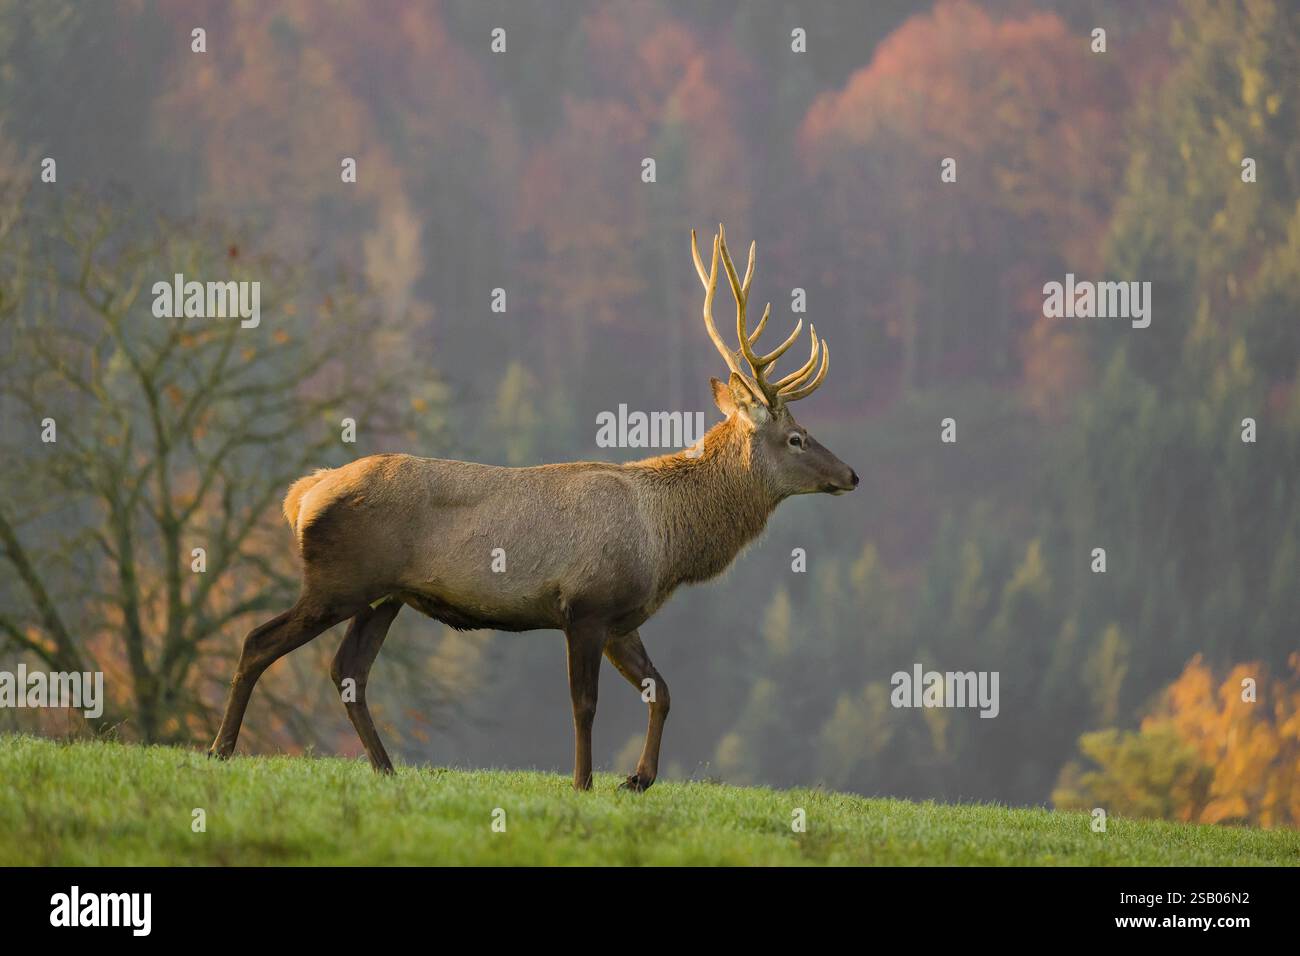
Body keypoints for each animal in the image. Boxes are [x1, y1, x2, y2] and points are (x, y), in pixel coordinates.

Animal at [208, 224, 858, 791]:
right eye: (796, 438)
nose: (851, 474)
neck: (667, 543)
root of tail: (302, 494)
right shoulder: (586, 605)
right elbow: (585, 704)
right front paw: (584, 782)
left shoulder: (622, 619)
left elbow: (664, 691)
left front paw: (638, 779)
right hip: (338, 581)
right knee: (259, 641)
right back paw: (220, 749)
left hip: (383, 596)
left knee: (349, 670)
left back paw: (385, 769)